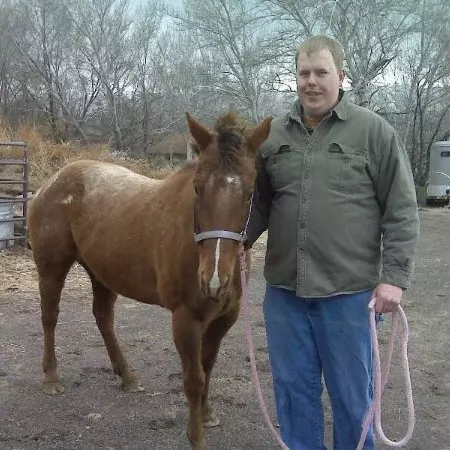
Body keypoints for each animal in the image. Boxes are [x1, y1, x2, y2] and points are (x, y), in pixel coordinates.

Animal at [29, 110, 274, 448]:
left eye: (250, 193)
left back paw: (127, 376)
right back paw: (52, 377)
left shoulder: (224, 317)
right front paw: (196, 437)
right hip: (52, 267)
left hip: (102, 272)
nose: (213, 281)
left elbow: (207, 366)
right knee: (49, 317)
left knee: (103, 317)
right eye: (197, 188)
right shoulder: (186, 319)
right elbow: (194, 378)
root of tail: (53, 181)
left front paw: (207, 415)